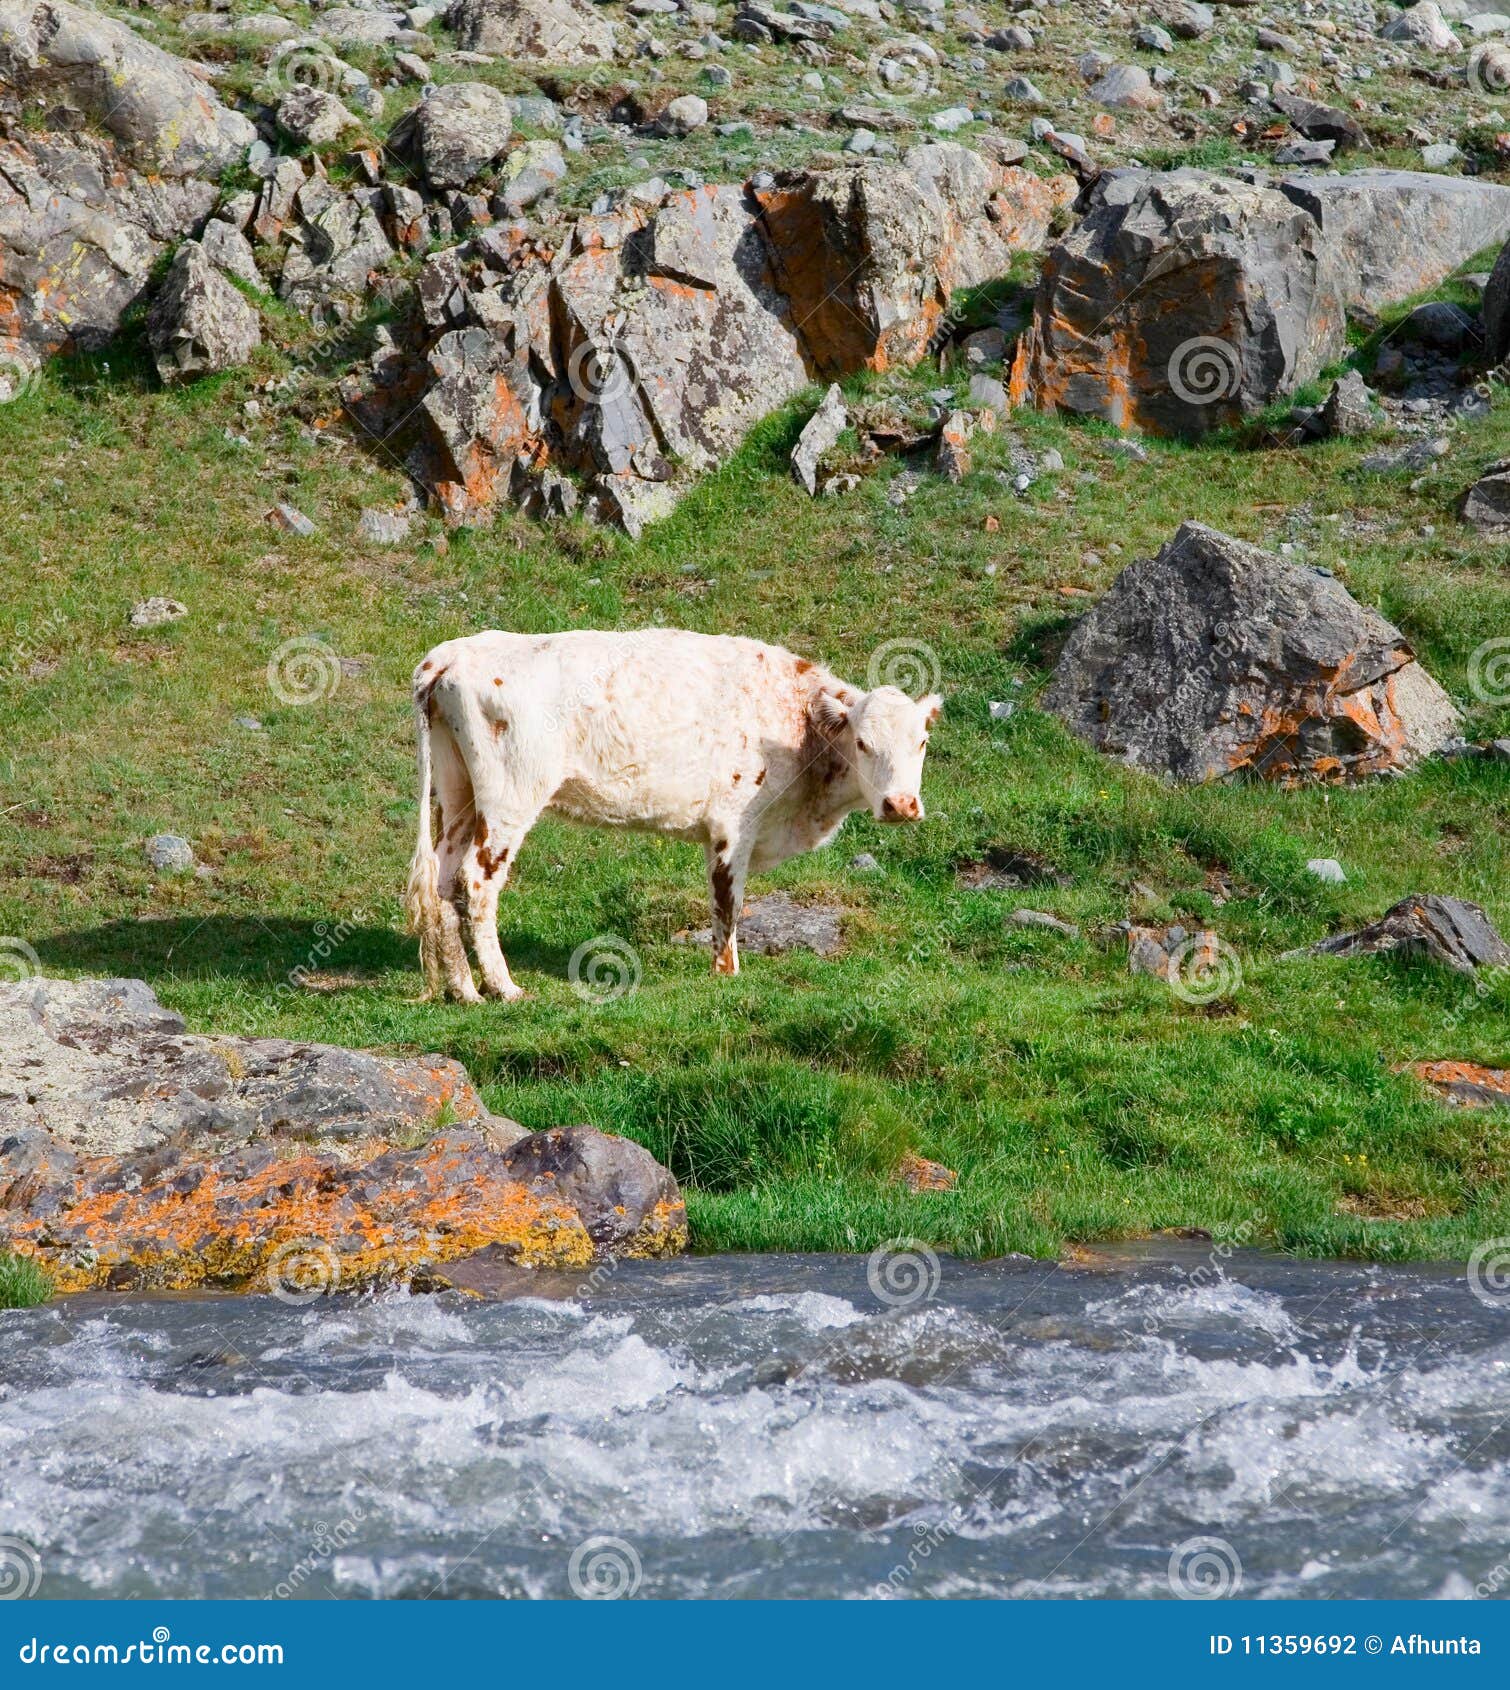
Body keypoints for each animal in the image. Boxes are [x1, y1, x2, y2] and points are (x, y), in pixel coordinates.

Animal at [403, 628, 941, 1001]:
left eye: (922, 742)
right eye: (863, 743)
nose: (900, 805)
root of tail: (453, 654)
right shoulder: (733, 825)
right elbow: (728, 904)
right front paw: (726, 975)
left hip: (458, 793)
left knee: (443, 881)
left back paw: (464, 991)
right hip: (510, 797)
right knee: (476, 882)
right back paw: (504, 988)